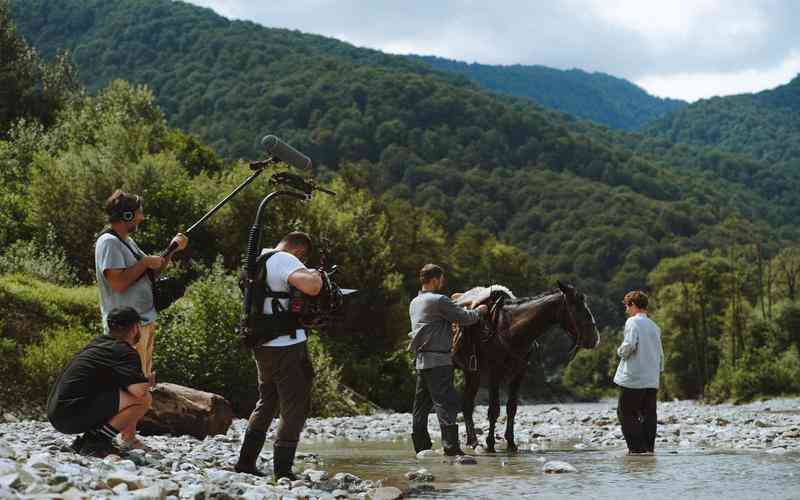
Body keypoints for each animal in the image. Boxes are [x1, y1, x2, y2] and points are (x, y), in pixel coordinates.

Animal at [454, 282, 596, 454]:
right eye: (577, 307)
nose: (594, 338)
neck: (509, 329)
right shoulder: (495, 373)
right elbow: (494, 410)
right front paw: (490, 444)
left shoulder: (519, 373)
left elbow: (512, 408)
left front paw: (511, 443)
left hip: (471, 373)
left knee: (467, 405)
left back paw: (472, 442)